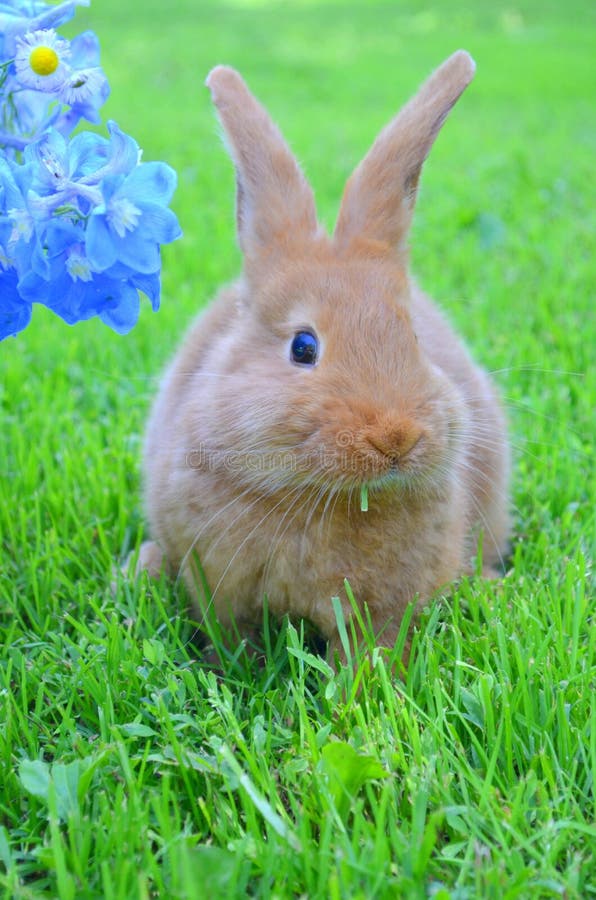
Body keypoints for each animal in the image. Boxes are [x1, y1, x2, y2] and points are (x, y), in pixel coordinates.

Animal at [135, 51, 510, 661]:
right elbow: (228, 640)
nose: (396, 437)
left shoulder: (382, 611)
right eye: (303, 347)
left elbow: (369, 657)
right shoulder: (216, 588)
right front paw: (231, 671)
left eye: (412, 336)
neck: (321, 496)